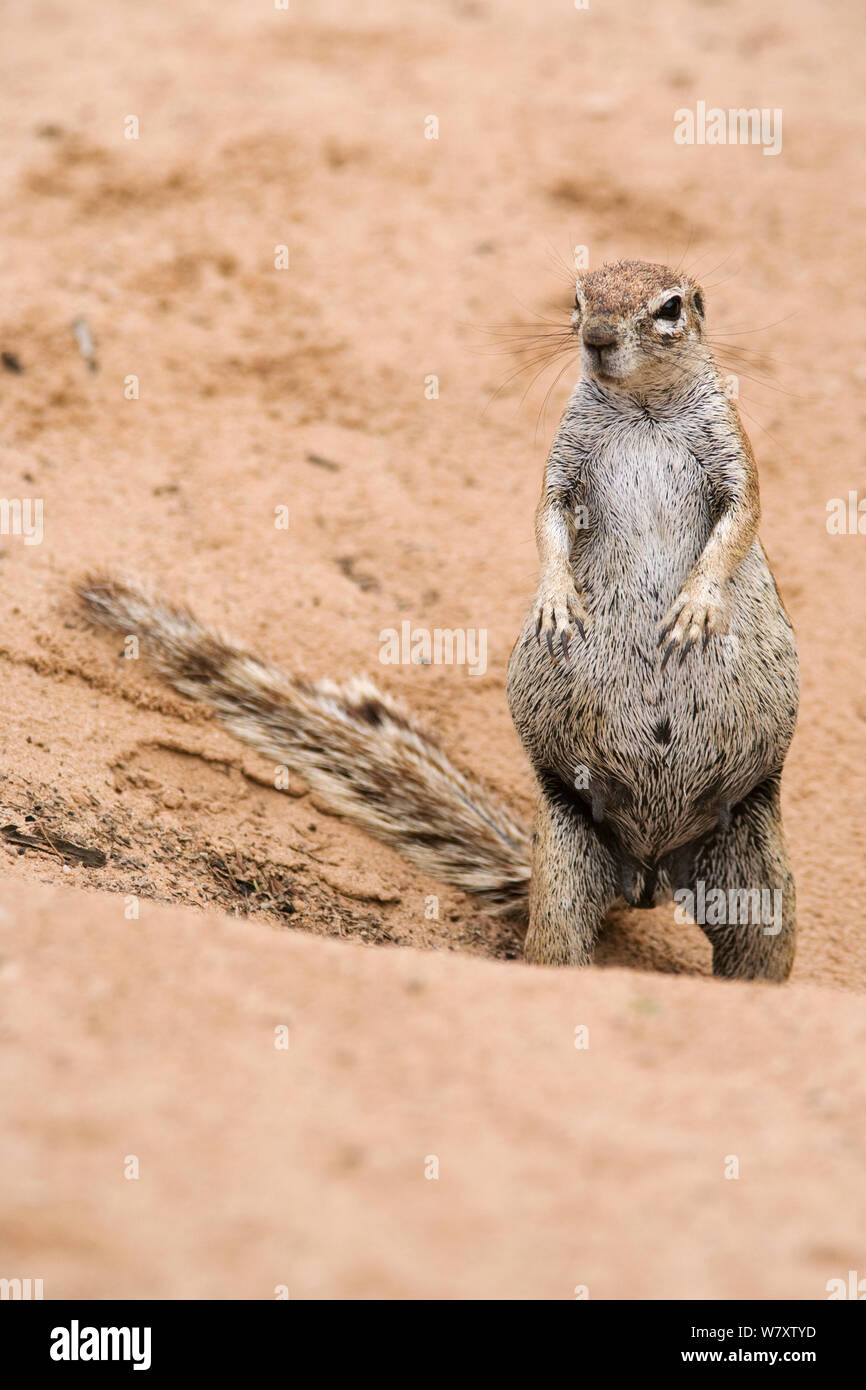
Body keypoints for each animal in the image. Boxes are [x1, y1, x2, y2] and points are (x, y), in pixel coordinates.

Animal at [76, 258, 799, 981]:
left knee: (760, 952)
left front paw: (697, 606)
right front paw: (556, 600)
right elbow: (546, 521)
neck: (643, 409)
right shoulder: (564, 465)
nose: (595, 338)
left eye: (670, 307)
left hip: (753, 874)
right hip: (568, 864)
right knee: (558, 944)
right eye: (578, 297)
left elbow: (740, 520)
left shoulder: (733, 455)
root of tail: (649, 875)